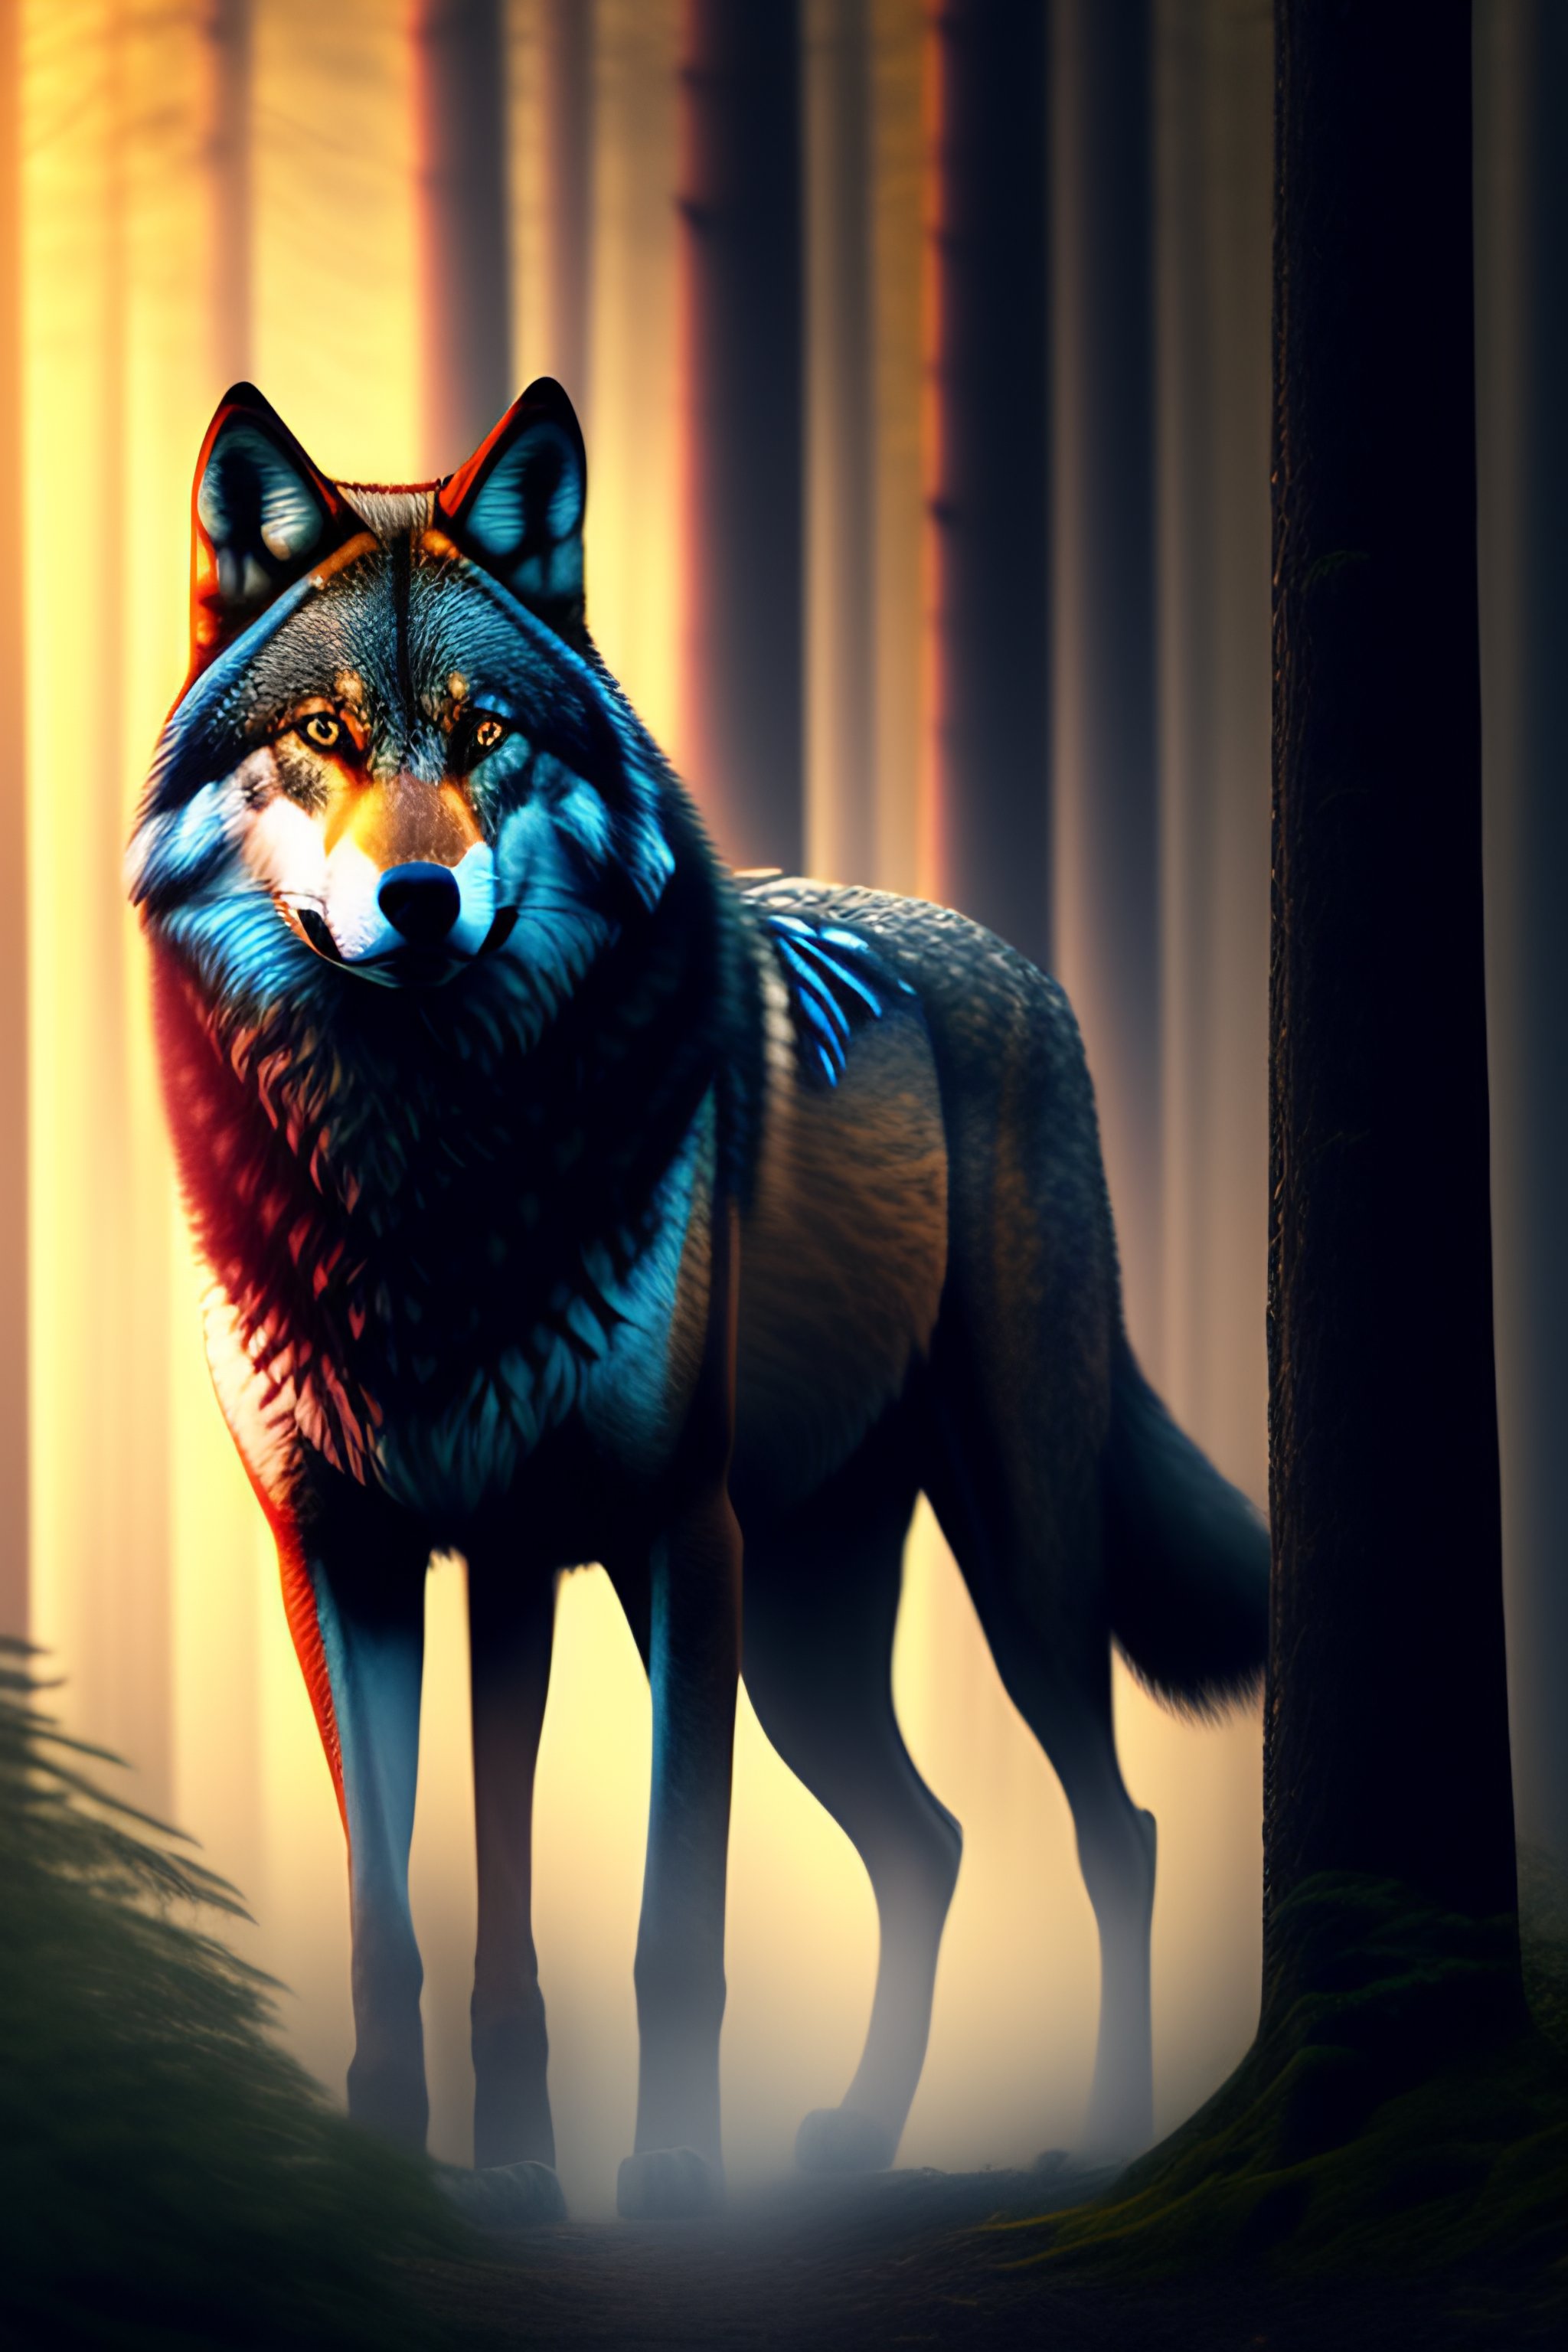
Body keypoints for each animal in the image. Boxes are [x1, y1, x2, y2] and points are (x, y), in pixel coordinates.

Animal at [127, 377, 1268, 2219]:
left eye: (486, 733)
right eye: (324, 734)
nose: (421, 901)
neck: (413, 1165)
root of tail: (1008, 961)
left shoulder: (643, 1535)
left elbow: (672, 1914)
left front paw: (655, 2173)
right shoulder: (362, 1551)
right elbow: (404, 1916)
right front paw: (436, 2166)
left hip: (998, 1563)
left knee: (1117, 1831)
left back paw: (1097, 2133)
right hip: (808, 1631)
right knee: (932, 1842)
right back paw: (861, 2134)